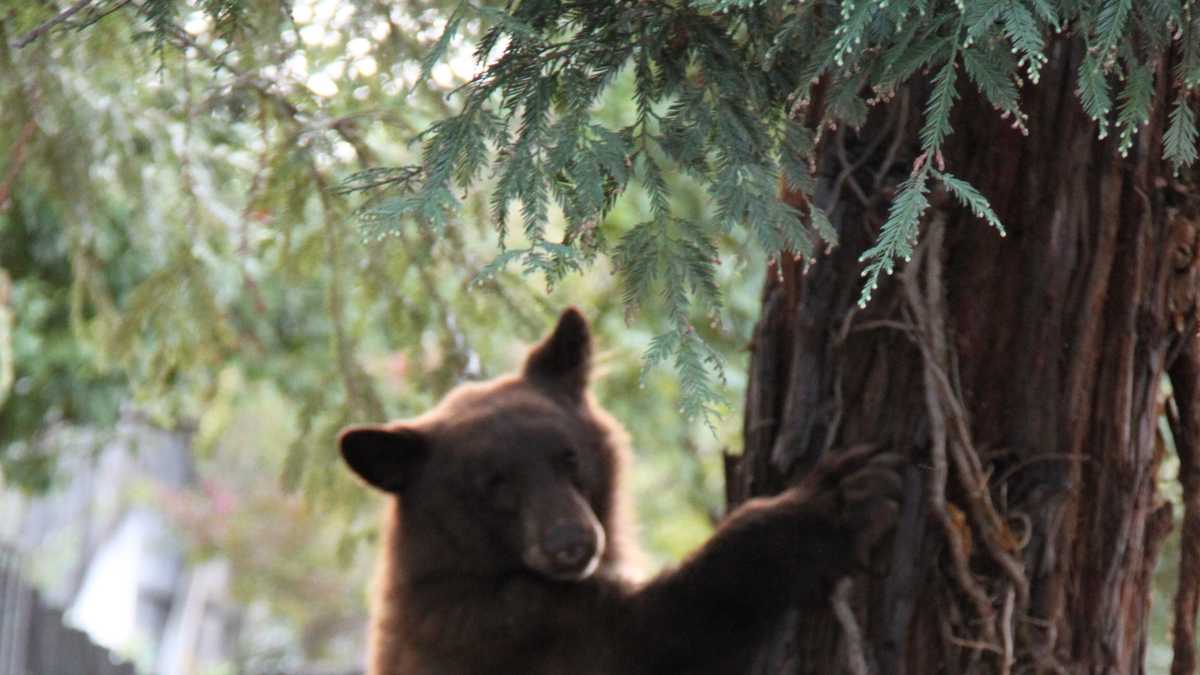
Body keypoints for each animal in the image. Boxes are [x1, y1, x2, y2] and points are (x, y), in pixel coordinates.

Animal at [338, 307, 901, 675]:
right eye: (494, 485)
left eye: (568, 457)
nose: (571, 543)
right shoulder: (504, 632)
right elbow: (658, 630)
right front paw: (839, 501)